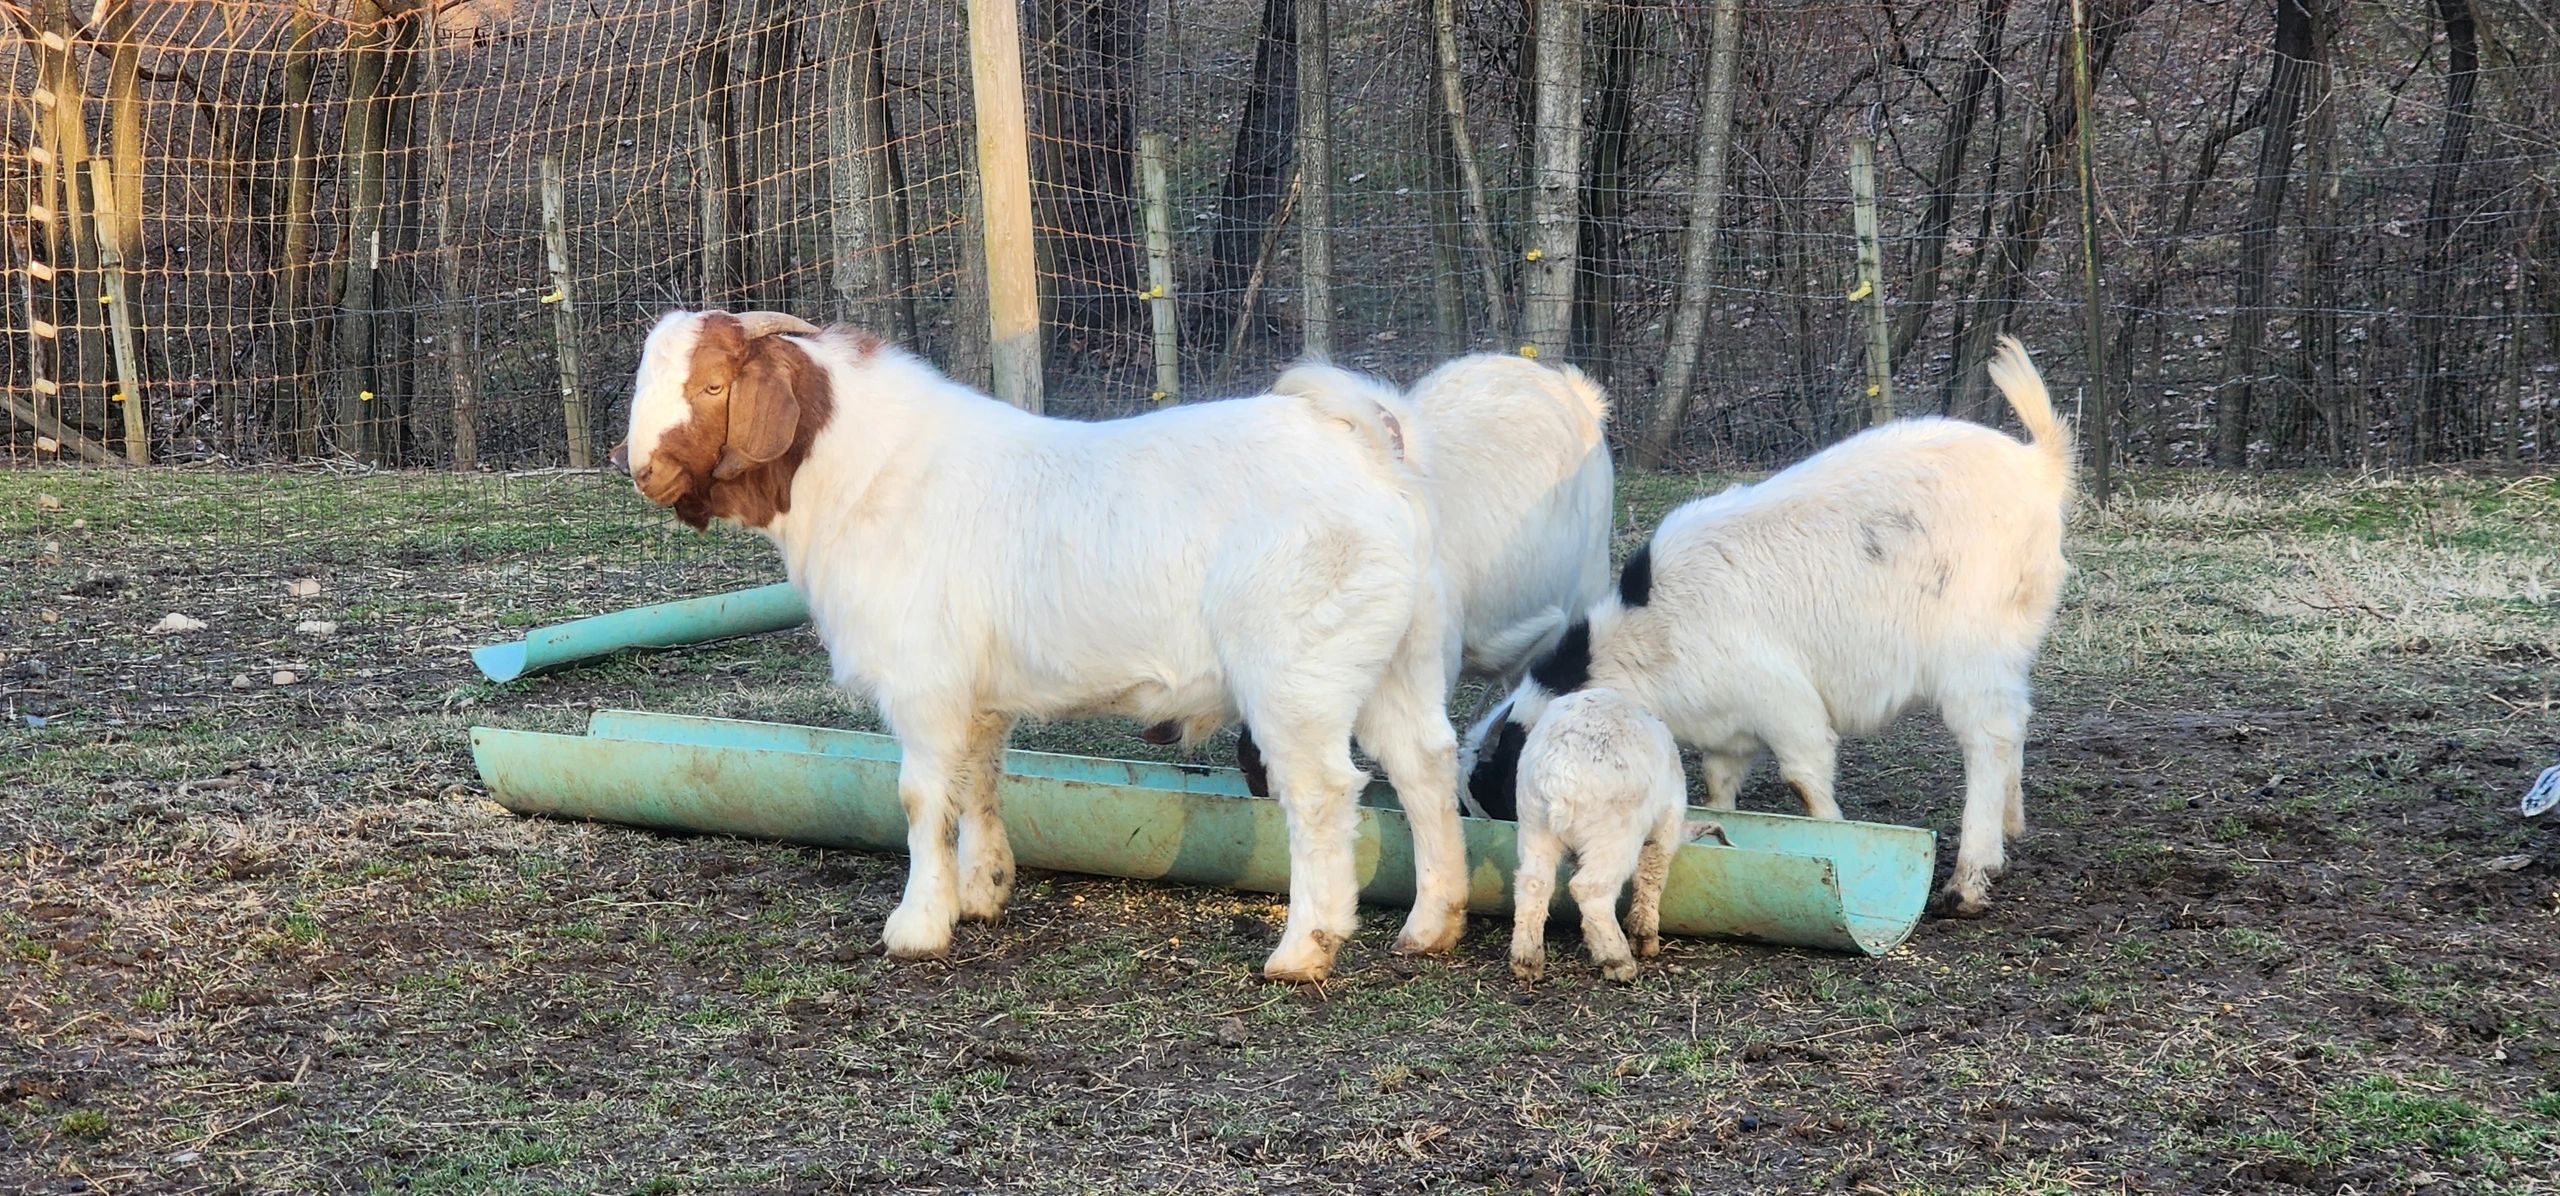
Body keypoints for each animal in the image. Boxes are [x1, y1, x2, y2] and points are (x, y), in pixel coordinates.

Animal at [612, 310, 1469, 983]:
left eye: (712, 387)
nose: (641, 469)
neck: (869, 475)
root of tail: (1366, 450)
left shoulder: (922, 681)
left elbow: (922, 795)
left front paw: (918, 926)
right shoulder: (977, 695)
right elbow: (979, 780)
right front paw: (983, 892)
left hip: (1297, 670)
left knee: (1322, 791)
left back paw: (1304, 950)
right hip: (1403, 655)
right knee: (1426, 763)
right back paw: (1431, 927)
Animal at [1465, 337, 2073, 917]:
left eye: (1507, 789)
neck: (1647, 635)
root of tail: (2038, 466)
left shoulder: (1785, 703)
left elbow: (1805, 777)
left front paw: (1835, 836)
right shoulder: (1727, 727)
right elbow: (1718, 785)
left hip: (1972, 649)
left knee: (1989, 736)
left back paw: (1969, 878)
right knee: (2015, 718)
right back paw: (2009, 831)